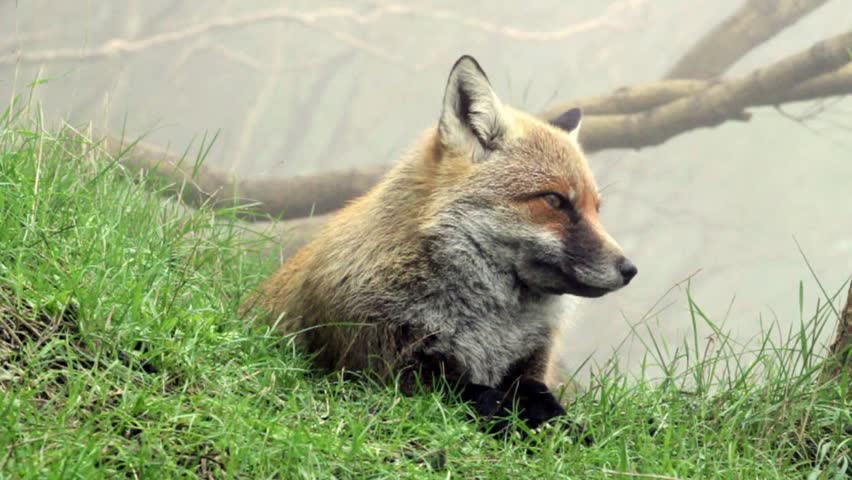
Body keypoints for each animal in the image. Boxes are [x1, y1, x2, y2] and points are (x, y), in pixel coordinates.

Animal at [245, 55, 637, 431]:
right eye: (554, 200)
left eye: (596, 209)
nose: (629, 269)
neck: (489, 327)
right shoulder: (392, 367)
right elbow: (485, 397)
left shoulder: (533, 364)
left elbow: (543, 400)